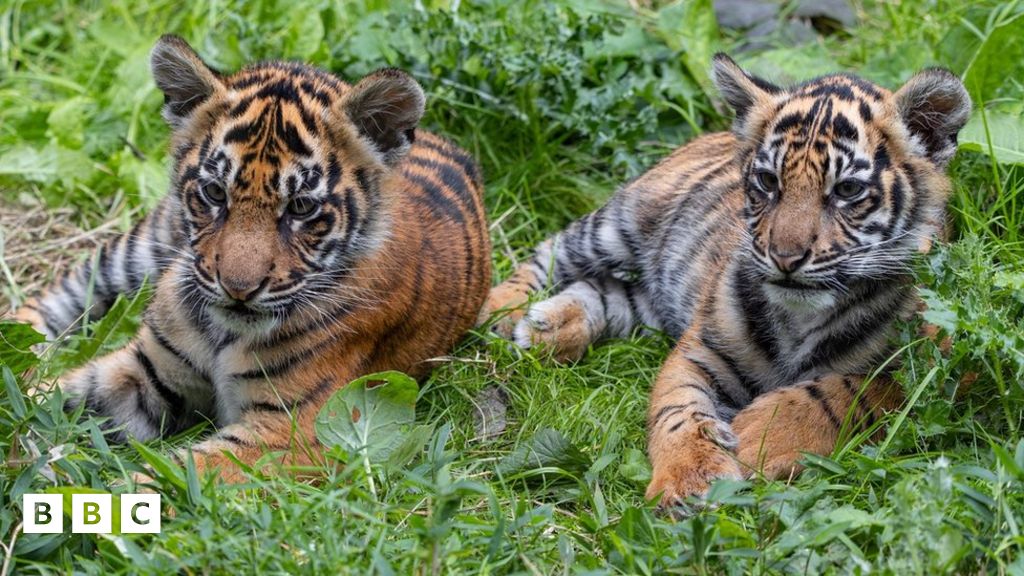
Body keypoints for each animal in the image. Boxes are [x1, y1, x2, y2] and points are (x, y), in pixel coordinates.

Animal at [9, 35, 491, 482]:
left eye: (301, 207)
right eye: (214, 193)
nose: (238, 289)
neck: (223, 336)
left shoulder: (293, 431)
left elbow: (170, 479)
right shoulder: (147, 373)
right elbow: (55, 398)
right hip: (147, 244)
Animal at [478, 54, 970, 508]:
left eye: (847, 190)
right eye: (768, 181)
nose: (785, 258)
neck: (799, 319)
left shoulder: (938, 365)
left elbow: (852, 391)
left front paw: (759, 435)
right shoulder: (700, 350)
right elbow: (678, 410)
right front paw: (689, 479)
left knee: (614, 292)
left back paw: (550, 326)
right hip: (621, 221)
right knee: (549, 252)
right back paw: (500, 311)